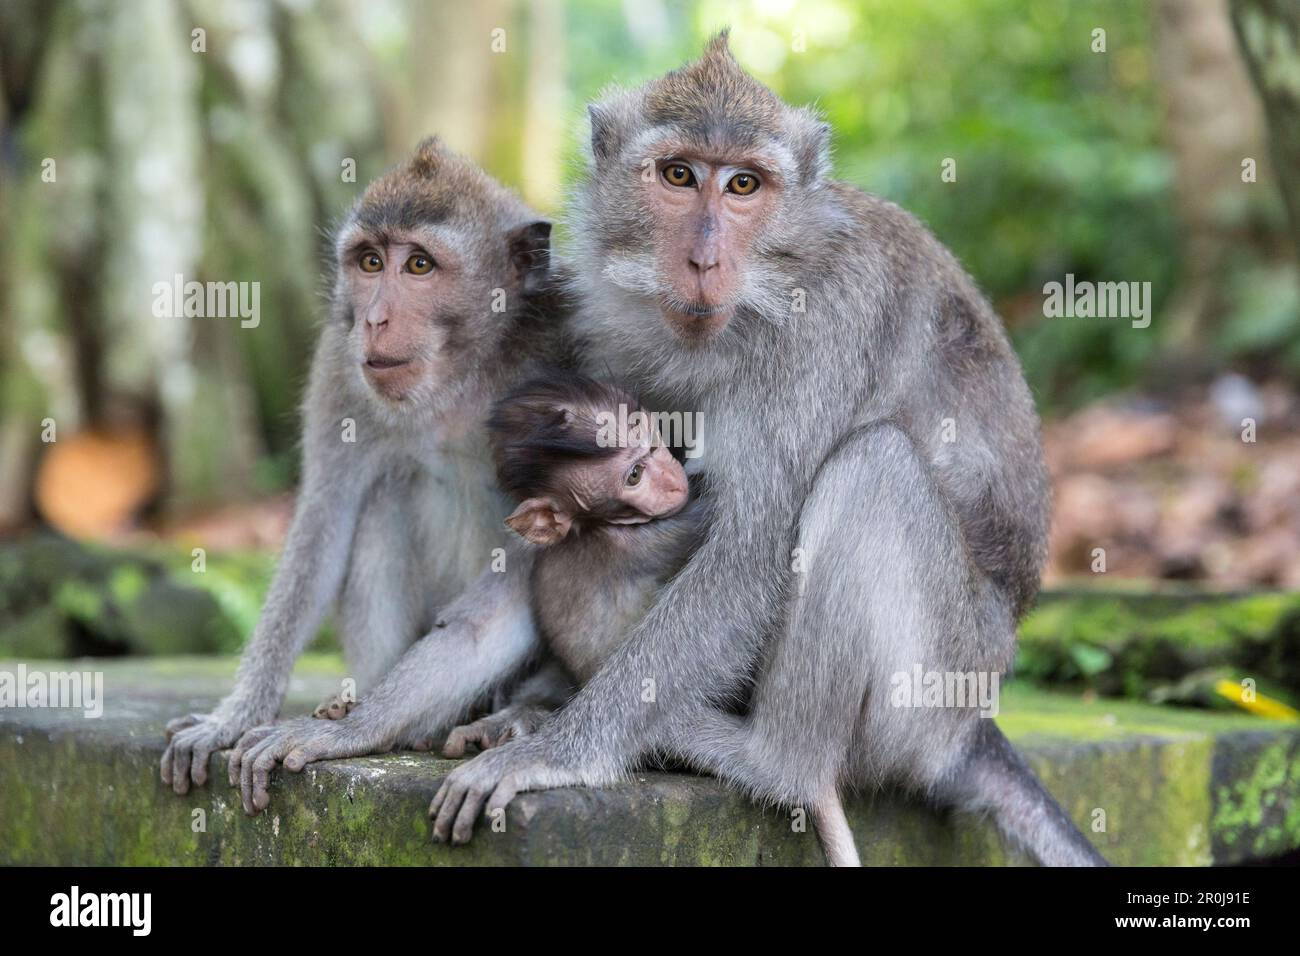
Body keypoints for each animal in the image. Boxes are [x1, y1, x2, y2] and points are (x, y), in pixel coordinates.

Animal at [158, 137, 576, 806]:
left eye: (420, 266)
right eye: (371, 261)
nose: (375, 319)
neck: (461, 375)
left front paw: (352, 734)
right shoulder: (339, 362)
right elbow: (324, 524)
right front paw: (235, 717)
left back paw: (512, 715)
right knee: (382, 500)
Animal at [232, 35, 1107, 867]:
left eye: (745, 186)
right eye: (679, 176)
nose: (705, 257)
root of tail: (972, 726)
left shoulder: (825, 329)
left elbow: (753, 547)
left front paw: (554, 752)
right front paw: (352, 730)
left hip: (930, 696)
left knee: (873, 467)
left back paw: (763, 759)